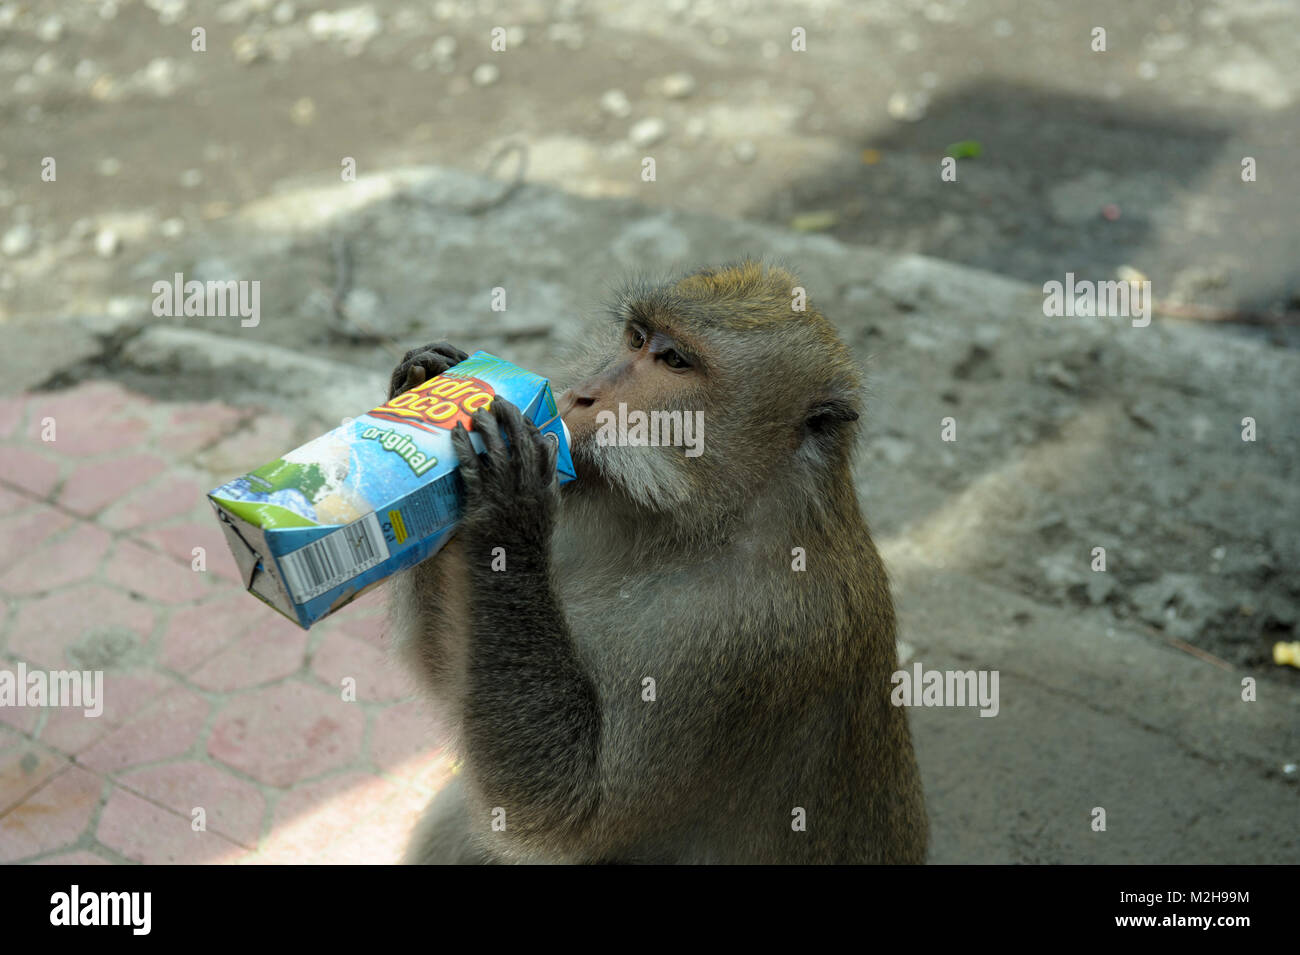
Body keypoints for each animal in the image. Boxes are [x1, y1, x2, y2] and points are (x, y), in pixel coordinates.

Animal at [387, 261, 927, 864]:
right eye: (637, 339)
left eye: (676, 362)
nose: (581, 397)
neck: (708, 523)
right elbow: (450, 673)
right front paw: (426, 376)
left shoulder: (743, 641)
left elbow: (569, 807)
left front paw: (510, 500)